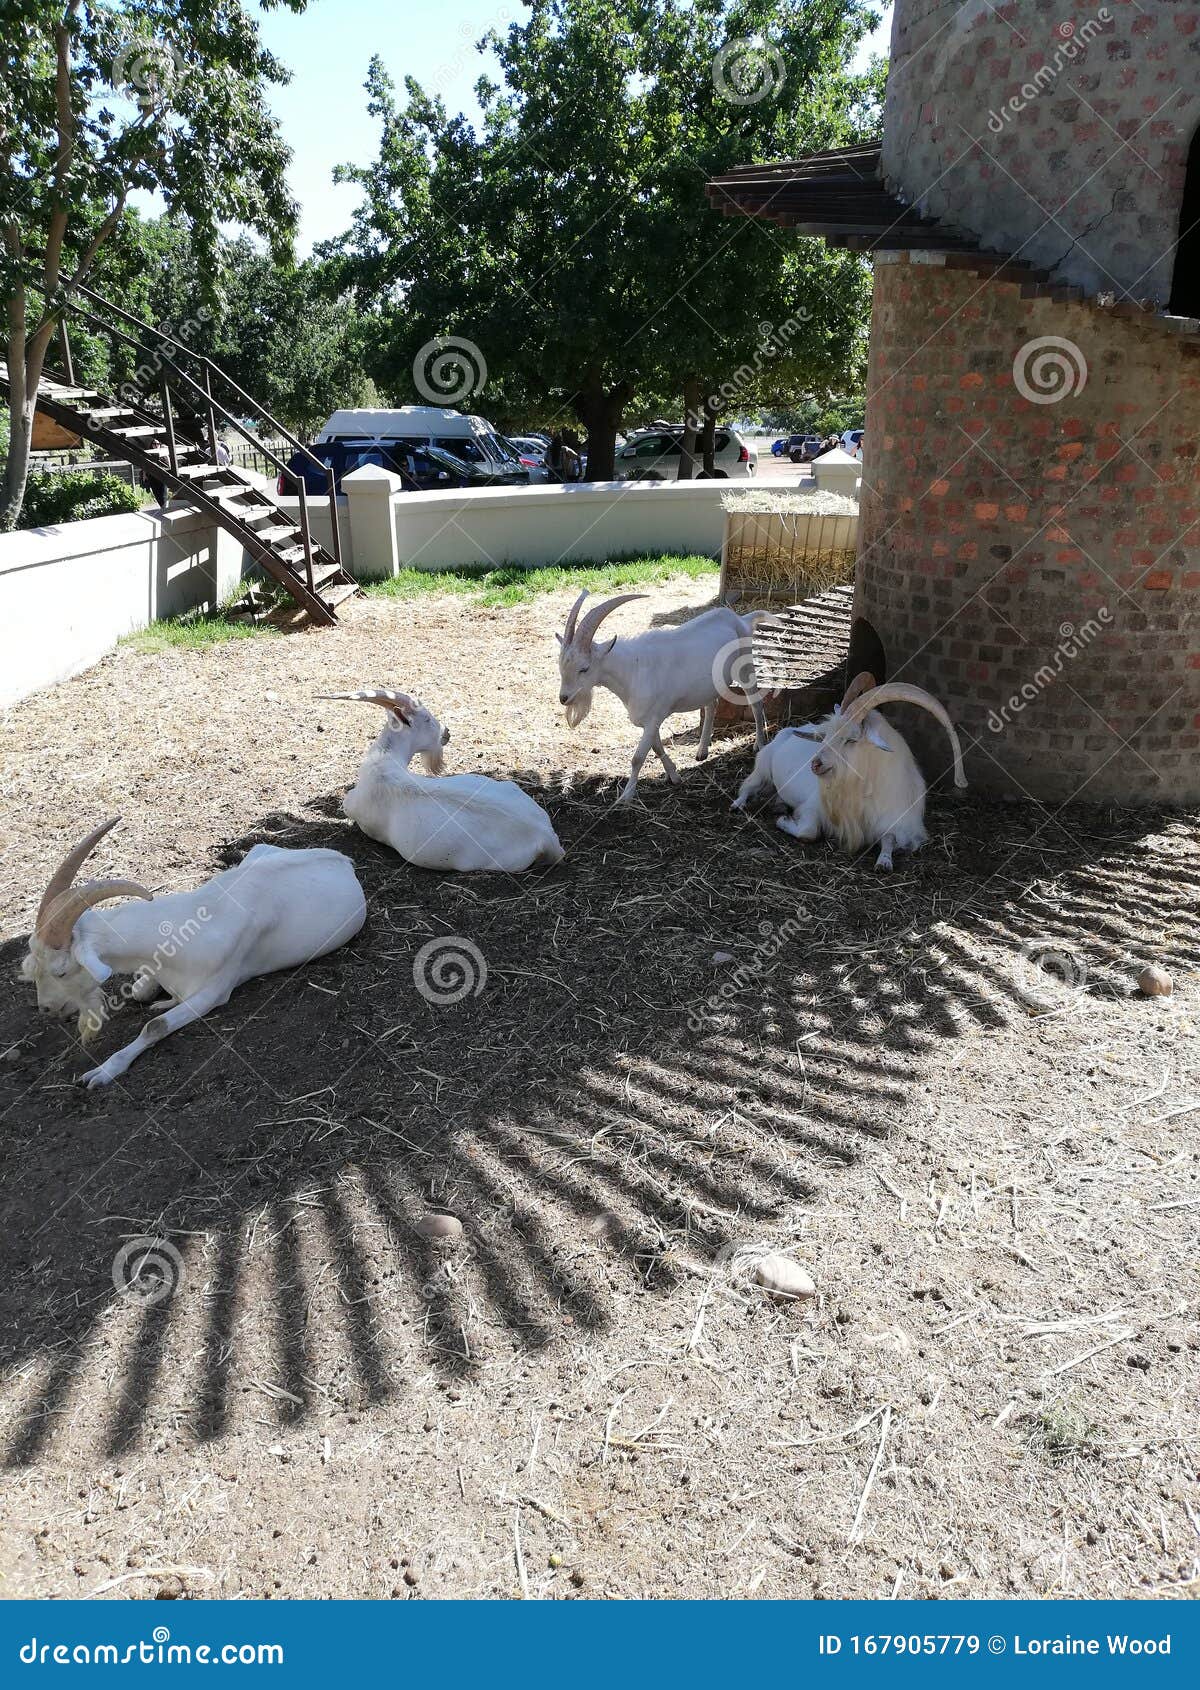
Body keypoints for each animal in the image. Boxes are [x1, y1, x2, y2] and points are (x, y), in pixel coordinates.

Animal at [21, 817, 367, 1087]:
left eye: (61, 971)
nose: (46, 1009)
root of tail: (342, 860)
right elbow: (140, 992)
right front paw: (158, 998)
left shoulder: (213, 992)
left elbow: (154, 1026)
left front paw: (102, 1072)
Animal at [556, 590, 770, 803]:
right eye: (561, 666)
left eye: (584, 668)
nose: (564, 698)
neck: (633, 670)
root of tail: (740, 619)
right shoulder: (649, 721)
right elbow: (657, 748)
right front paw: (674, 776)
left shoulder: (653, 718)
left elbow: (637, 758)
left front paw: (626, 797)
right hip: (710, 686)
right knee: (712, 705)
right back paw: (702, 751)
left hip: (745, 667)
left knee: (756, 704)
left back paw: (759, 745)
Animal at [732, 673, 967, 871]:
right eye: (826, 734)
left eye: (851, 739)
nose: (815, 764)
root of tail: (787, 731)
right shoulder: (814, 808)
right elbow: (808, 832)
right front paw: (783, 821)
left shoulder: (902, 824)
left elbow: (889, 838)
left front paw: (884, 862)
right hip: (763, 769)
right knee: (748, 786)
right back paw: (739, 805)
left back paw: (778, 804)